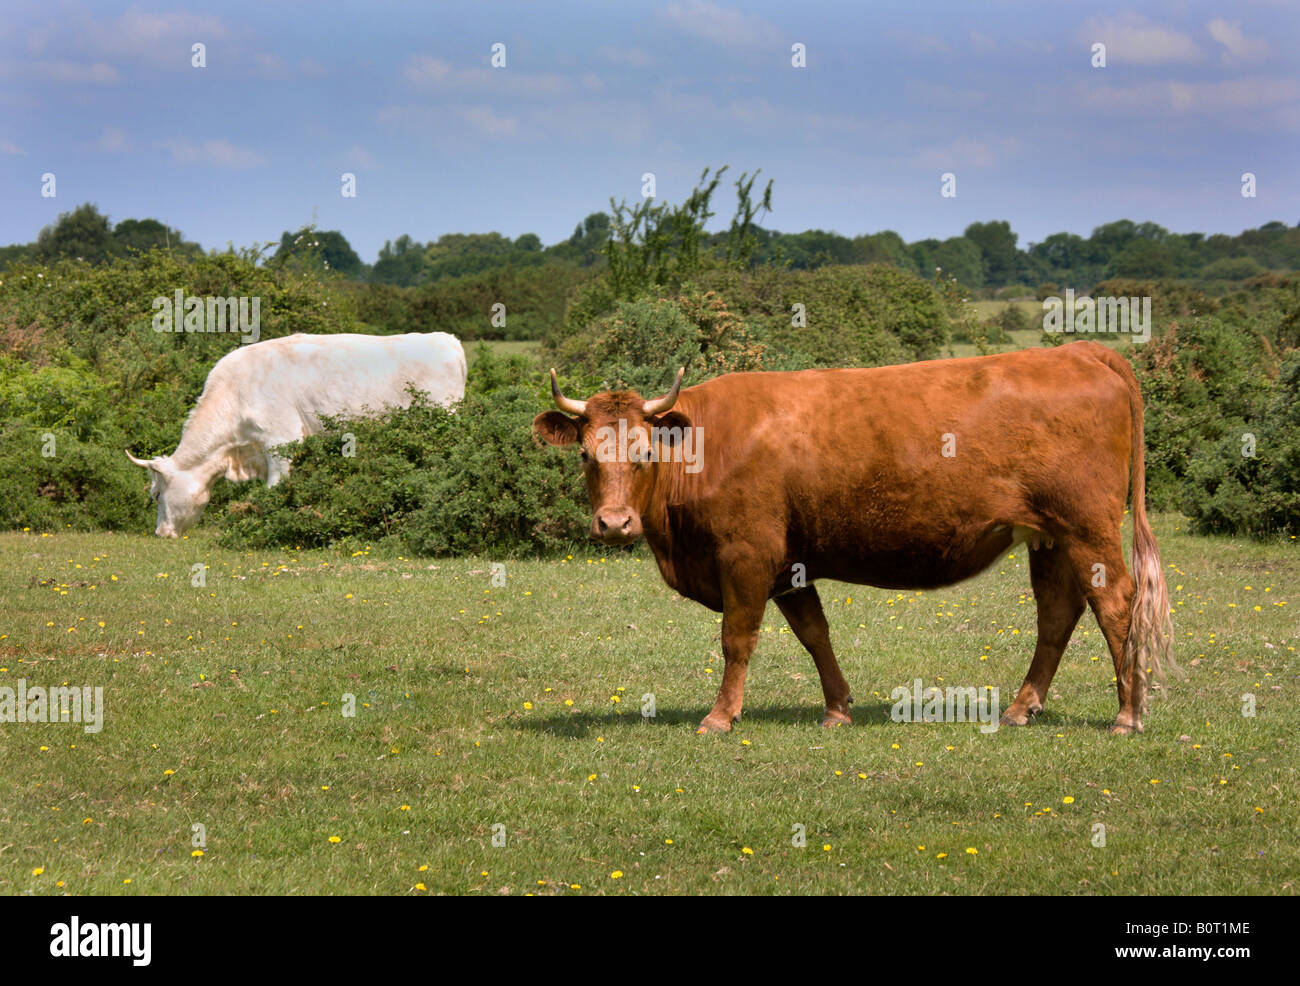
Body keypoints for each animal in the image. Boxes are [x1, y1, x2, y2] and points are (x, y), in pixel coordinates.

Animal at [533, 341, 1175, 735]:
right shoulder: (790, 567)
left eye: (643, 453)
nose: (614, 524)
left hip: (1088, 531)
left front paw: (720, 716)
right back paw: (1022, 707)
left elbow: (737, 639)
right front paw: (838, 709)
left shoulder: (746, 556)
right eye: (587, 455)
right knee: (1058, 614)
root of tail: (1077, 350)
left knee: (1117, 605)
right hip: (1049, 537)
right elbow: (815, 635)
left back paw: (1127, 714)